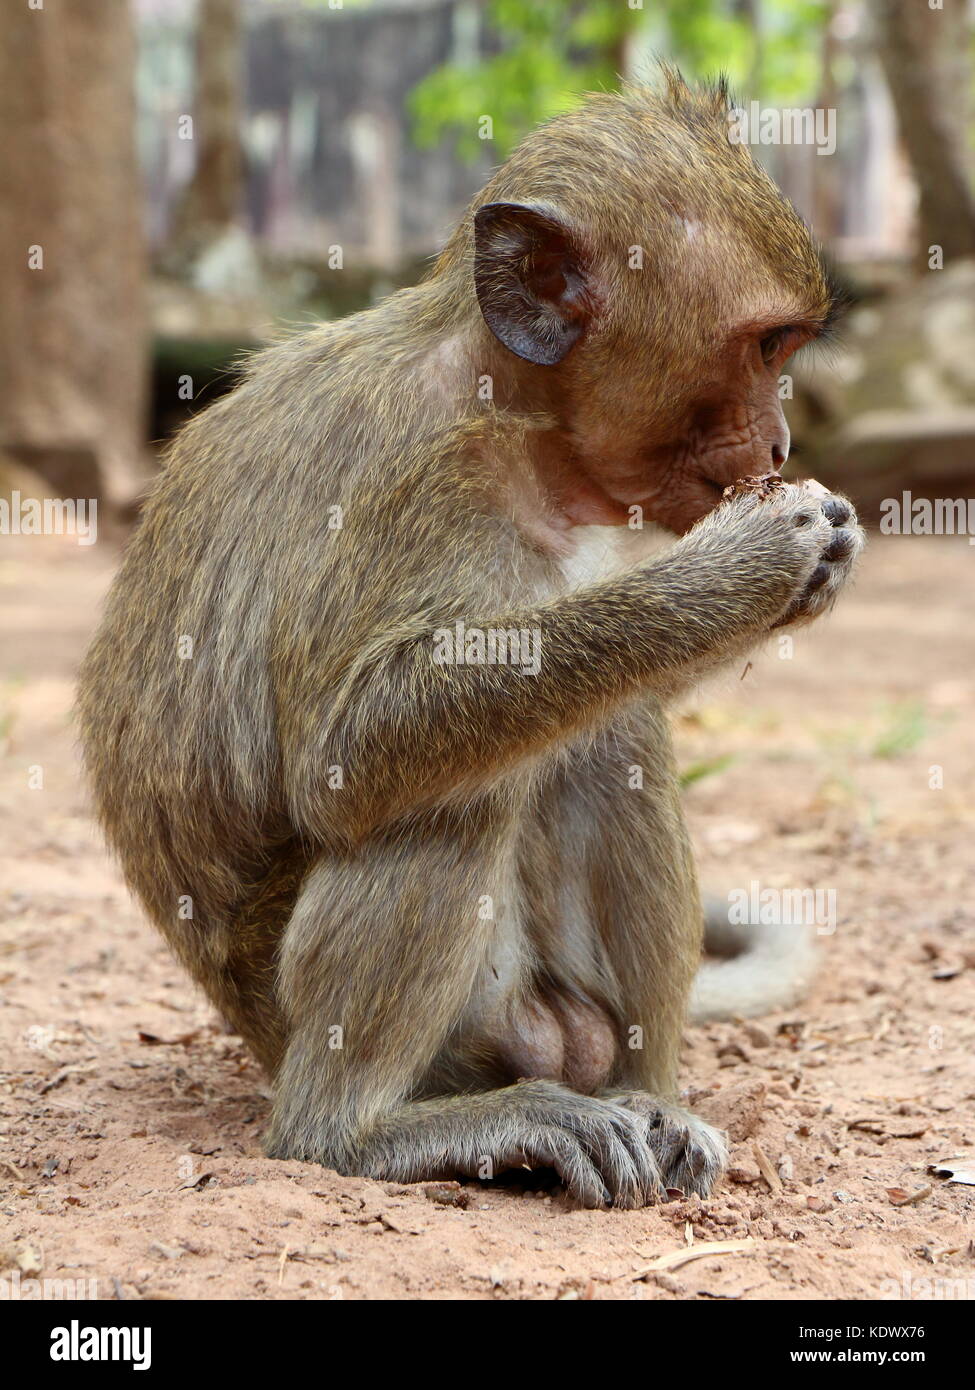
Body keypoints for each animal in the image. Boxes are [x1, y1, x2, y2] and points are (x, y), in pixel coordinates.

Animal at [78, 72, 864, 1209]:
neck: (514, 414)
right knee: (452, 798)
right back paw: (357, 1133)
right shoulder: (417, 482)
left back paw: (648, 1095)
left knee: (606, 738)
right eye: (764, 346)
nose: (779, 443)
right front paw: (744, 569)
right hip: (416, 1024)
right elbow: (346, 753)